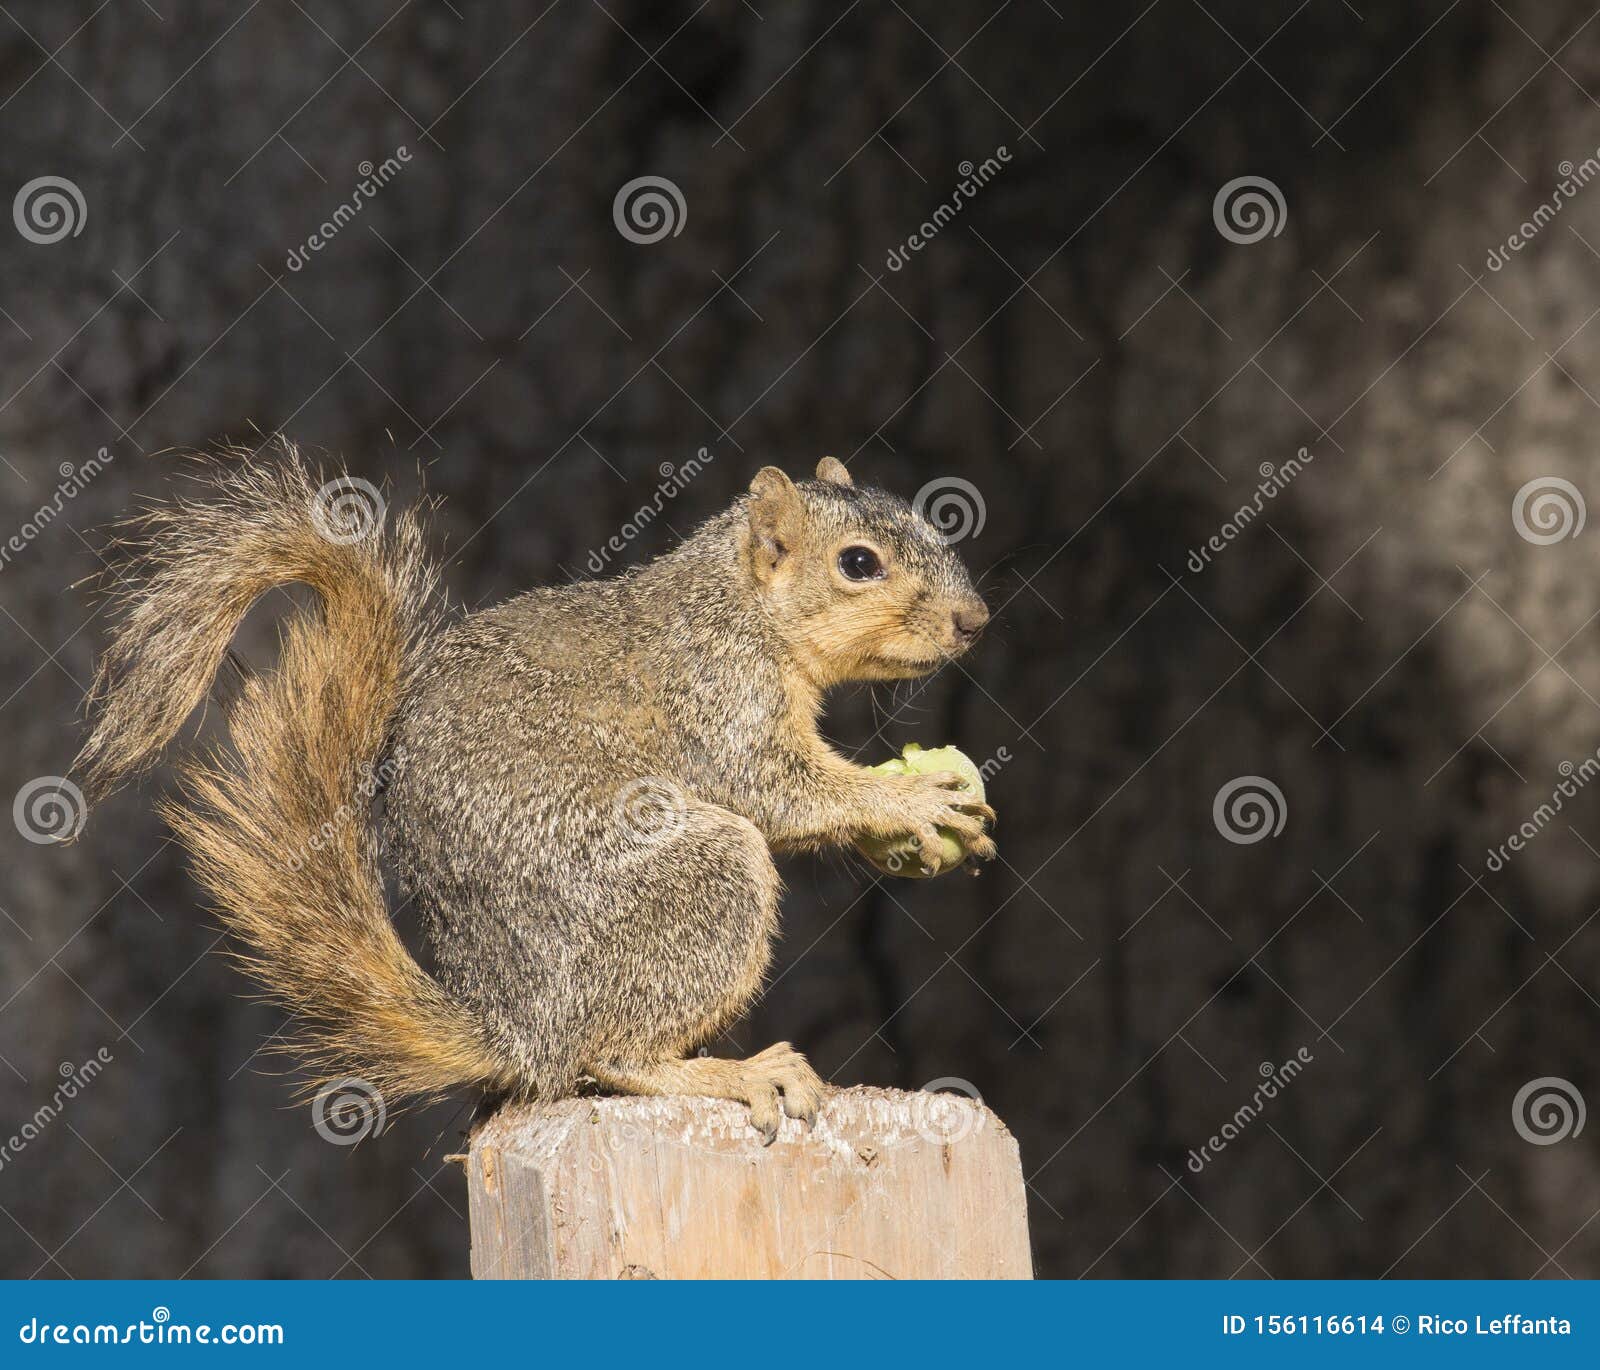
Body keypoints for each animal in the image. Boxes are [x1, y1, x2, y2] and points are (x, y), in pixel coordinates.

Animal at [73, 441, 996, 1143]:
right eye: (858, 564)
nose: (975, 621)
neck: (736, 608)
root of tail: (518, 1032)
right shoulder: (717, 696)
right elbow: (776, 791)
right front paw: (916, 801)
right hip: (690, 883)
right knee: (611, 1054)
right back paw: (739, 1073)